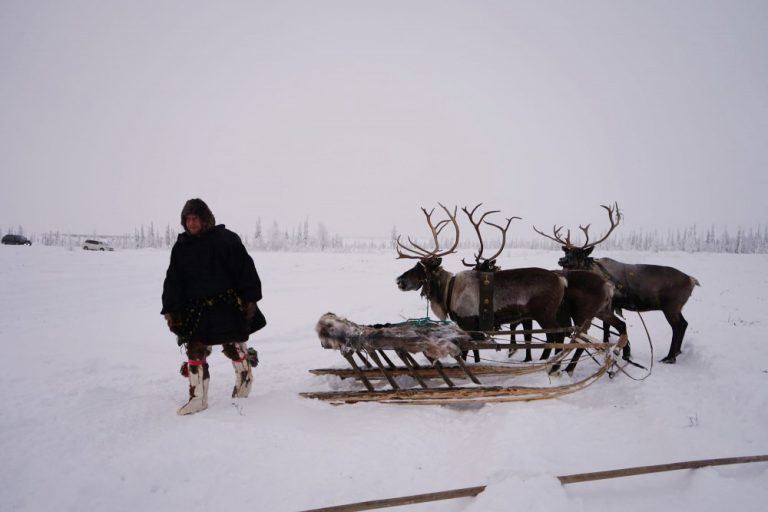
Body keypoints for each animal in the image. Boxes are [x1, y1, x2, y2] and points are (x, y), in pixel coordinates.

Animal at [395, 204, 567, 364]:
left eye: (420, 268)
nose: (399, 280)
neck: (449, 291)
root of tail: (560, 279)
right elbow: (475, 350)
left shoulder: (468, 322)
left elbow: (466, 351)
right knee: (552, 336)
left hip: (545, 313)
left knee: (558, 334)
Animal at [534, 203, 700, 364]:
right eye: (566, 252)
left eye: (579, 253)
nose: (562, 260)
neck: (594, 271)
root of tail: (692, 280)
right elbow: (608, 327)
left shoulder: (611, 305)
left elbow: (610, 327)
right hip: (676, 307)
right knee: (684, 324)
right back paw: (677, 352)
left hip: (670, 306)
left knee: (678, 327)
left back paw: (670, 357)